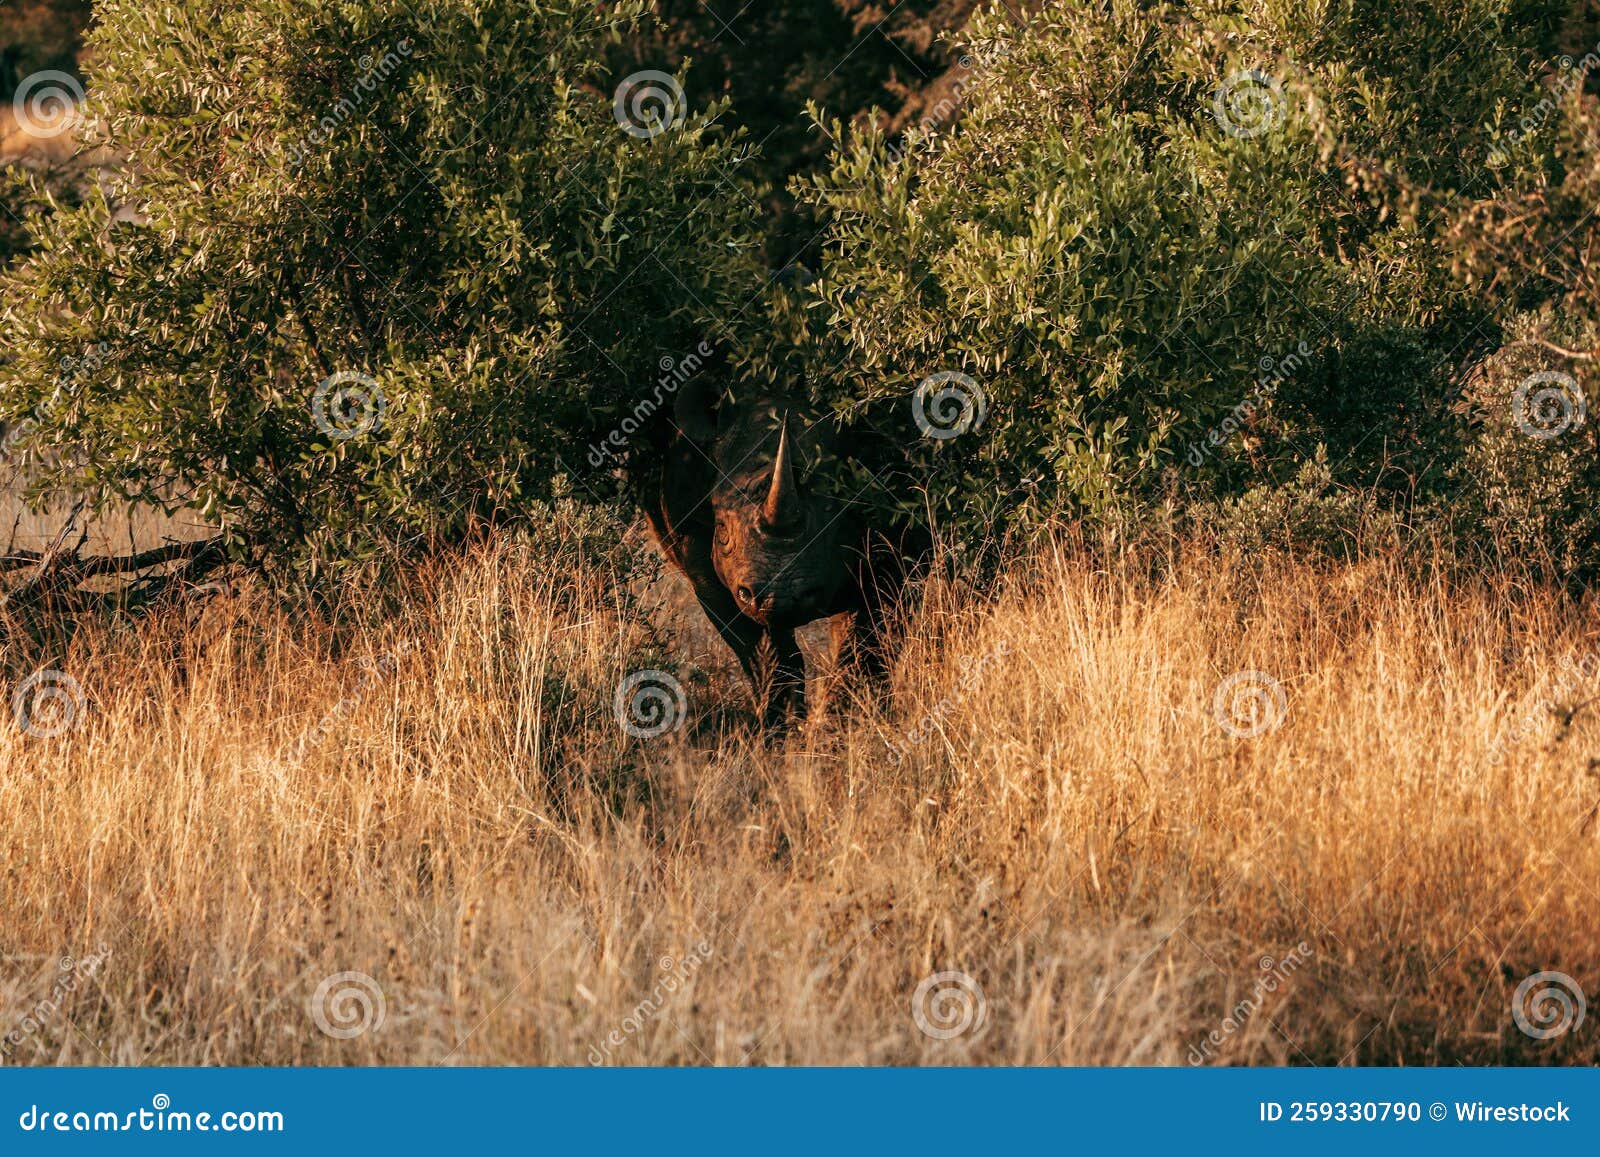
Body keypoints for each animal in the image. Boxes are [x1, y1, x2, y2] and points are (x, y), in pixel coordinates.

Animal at [639, 379, 917, 728]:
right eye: (722, 527)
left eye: (840, 523)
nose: (778, 599)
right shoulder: (696, 539)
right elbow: (757, 642)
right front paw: (779, 725)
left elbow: (872, 633)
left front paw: (844, 722)